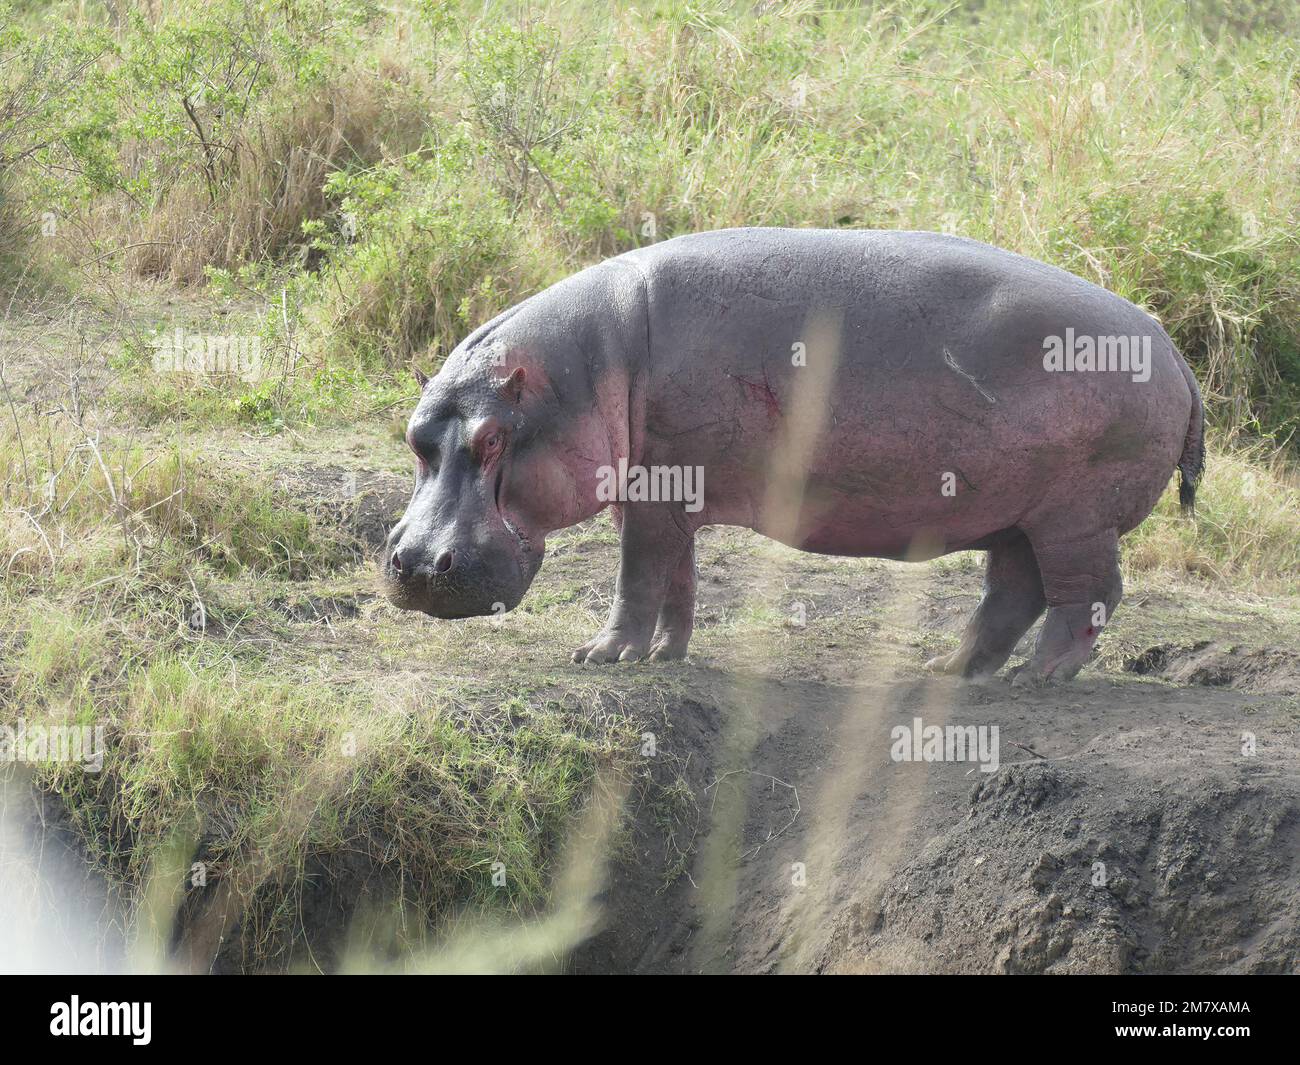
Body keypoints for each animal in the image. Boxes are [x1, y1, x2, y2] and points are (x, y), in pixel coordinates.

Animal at [382, 228, 1203, 684]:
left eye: (493, 440)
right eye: (414, 438)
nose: (415, 564)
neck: (583, 370)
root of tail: (1173, 350)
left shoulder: (653, 494)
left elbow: (637, 579)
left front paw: (602, 656)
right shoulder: (666, 496)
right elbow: (676, 581)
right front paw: (667, 656)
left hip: (1077, 516)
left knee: (1088, 593)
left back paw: (1045, 674)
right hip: (1018, 514)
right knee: (1013, 593)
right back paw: (951, 669)